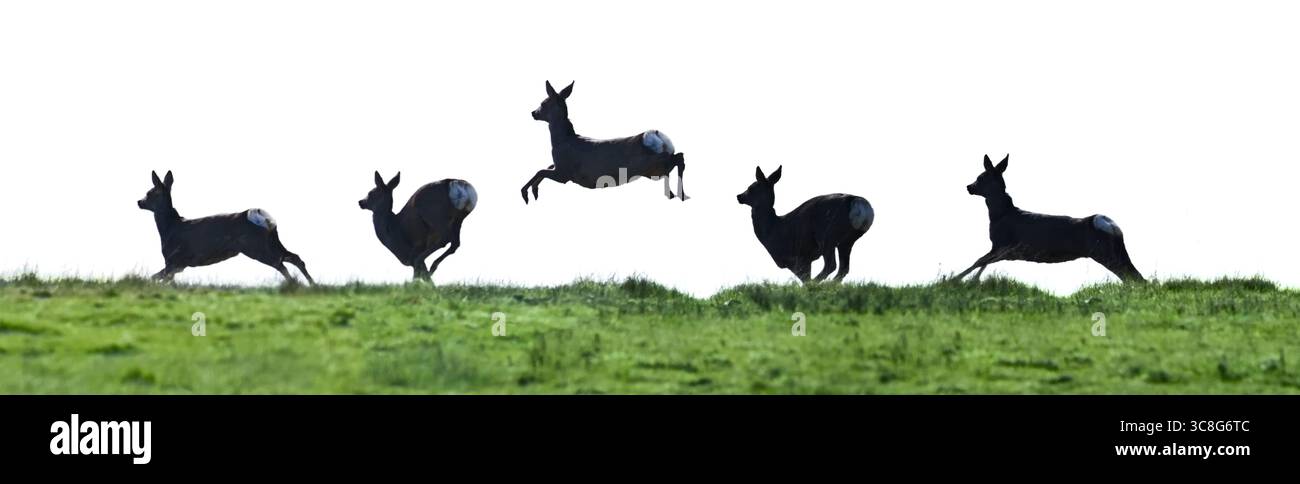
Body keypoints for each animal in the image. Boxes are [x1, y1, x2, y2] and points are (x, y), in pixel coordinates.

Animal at [136, 171, 314, 284]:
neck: (169, 228)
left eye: (150, 193)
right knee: (295, 258)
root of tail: (262, 216)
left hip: (255, 246)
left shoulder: (173, 260)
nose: (139, 202)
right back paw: (311, 285)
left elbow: (153, 278)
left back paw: (296, 284)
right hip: (273, 241)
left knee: (281, 263)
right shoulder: (177, 265)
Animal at [521, 81, 688, 204]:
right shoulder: (558, 167)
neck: (562, 141)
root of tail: (657, 135)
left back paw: (678, 193)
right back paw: (677, 194)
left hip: (648, 163)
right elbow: (545, 167)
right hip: (654, 170)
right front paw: (533, 192)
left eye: (543, 103)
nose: (533, 113)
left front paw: (527, 194)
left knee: (676, 158)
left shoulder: (564, 173)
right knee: (677, 159)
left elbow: (540, 170)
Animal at [737, 166, 875, 283]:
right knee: (844, 268)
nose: (739, 196)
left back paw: (817, 284)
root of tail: (858, 202)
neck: (773, 230)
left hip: (827, 234)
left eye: (751, 188)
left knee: (831, 264)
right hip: (848, 240)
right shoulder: (807, 258)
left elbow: (804, 279)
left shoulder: (797, 257)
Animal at [953, 154, 1145, 283]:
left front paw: (954, 281)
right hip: (1117, 251)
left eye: (981, 177)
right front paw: (970, 281)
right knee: (1135, 276)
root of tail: (1111, 225)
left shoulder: (1005, 244)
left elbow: (979, 261)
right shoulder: (1005, 249)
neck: (1000, 215)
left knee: (1133, 277)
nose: (969, 187)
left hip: (1104, 252)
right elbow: (983, 263)